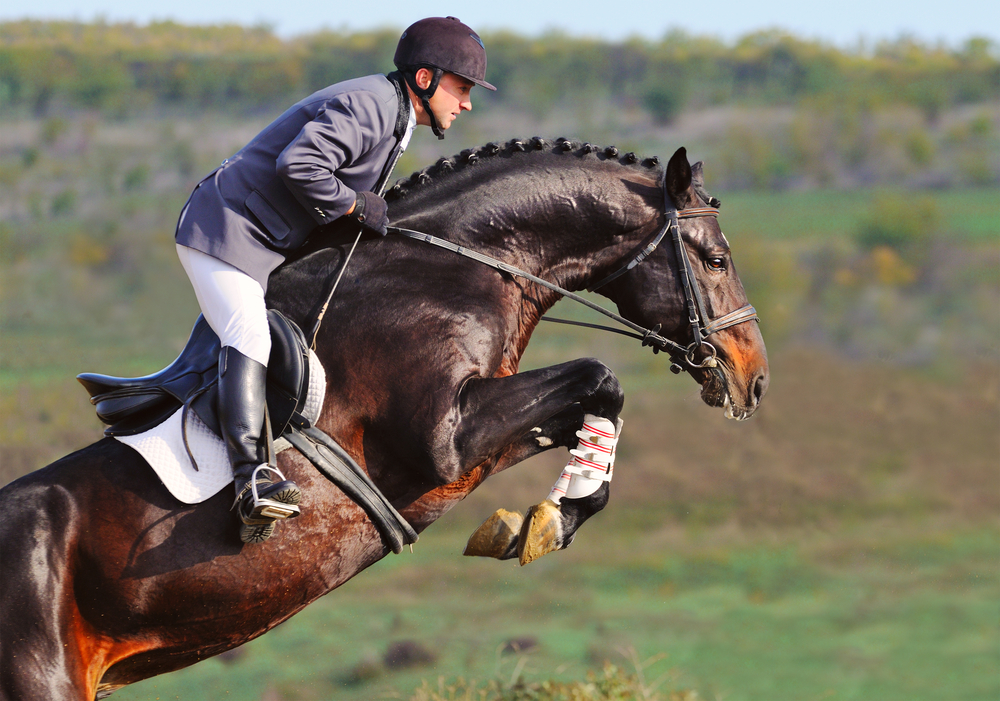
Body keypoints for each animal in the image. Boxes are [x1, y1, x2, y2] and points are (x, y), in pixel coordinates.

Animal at [0, 139, 768, 700]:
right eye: (716, 258)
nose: (753, 378)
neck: (456, 271)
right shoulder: (447, 439)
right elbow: (598, 376)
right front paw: (548, 520)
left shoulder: (473, 444)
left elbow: (590, 403)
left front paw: (541, 521)